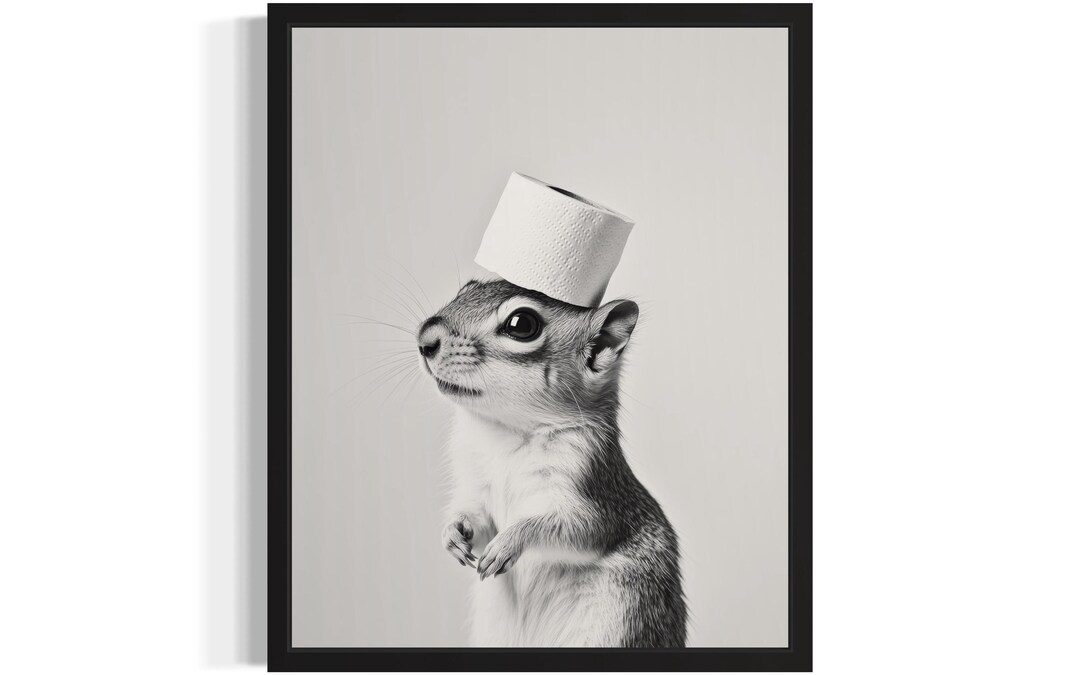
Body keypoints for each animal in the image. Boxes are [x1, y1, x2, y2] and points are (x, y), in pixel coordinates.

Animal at [416, 278, 686, 647]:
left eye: (522, 324)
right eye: (466, 288)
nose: (424, 338)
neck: (507, 435)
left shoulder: (594, 492)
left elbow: (576, 530)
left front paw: (509, 542)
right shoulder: (474, 483)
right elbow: (474, 515)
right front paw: (452, 534)